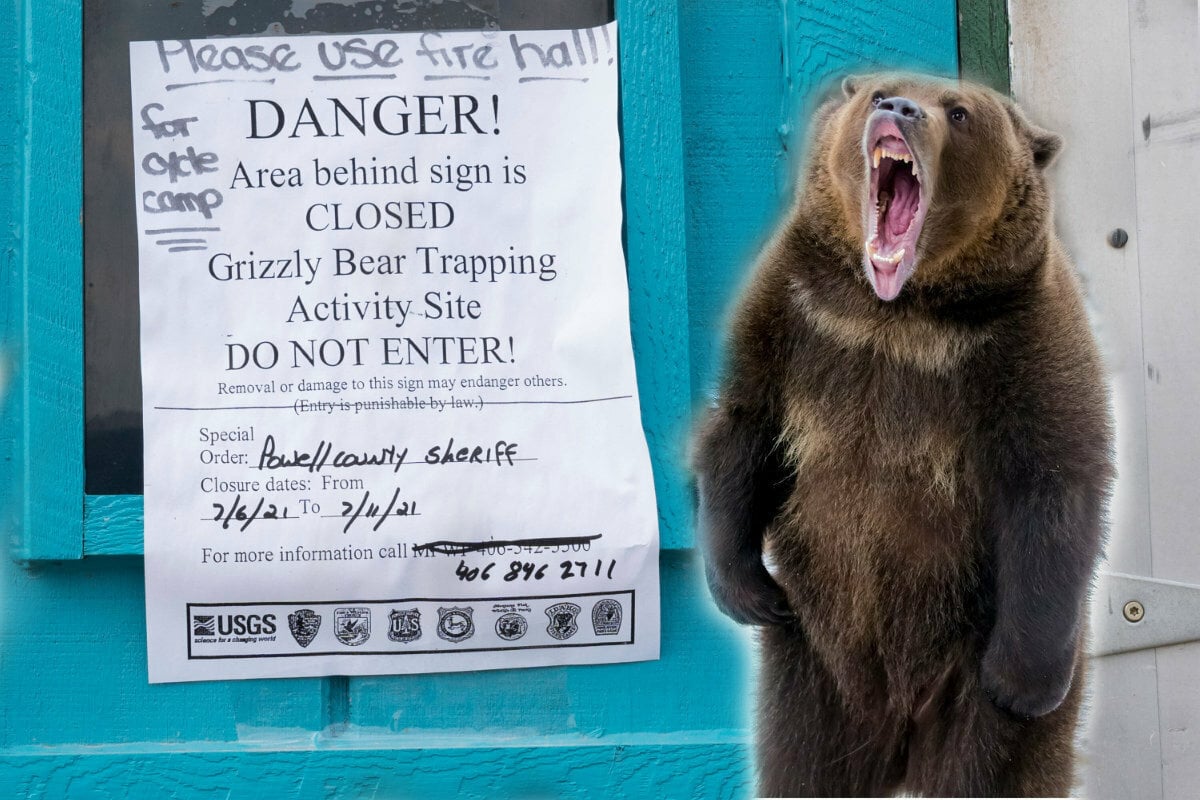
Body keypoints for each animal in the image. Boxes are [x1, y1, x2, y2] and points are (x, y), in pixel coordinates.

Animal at [691, 73, 1114, 797]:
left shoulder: (1020, 343)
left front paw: (1022, 680)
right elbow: (744, 431)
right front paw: (747, 591)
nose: (901, 109)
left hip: (963, 658)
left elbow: (1055, 477)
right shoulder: (795, 320)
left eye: (961, 111)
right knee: (802, 762)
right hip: (815, 673)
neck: (895, 309)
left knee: (988, 768)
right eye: (877, 91)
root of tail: (901, 727)